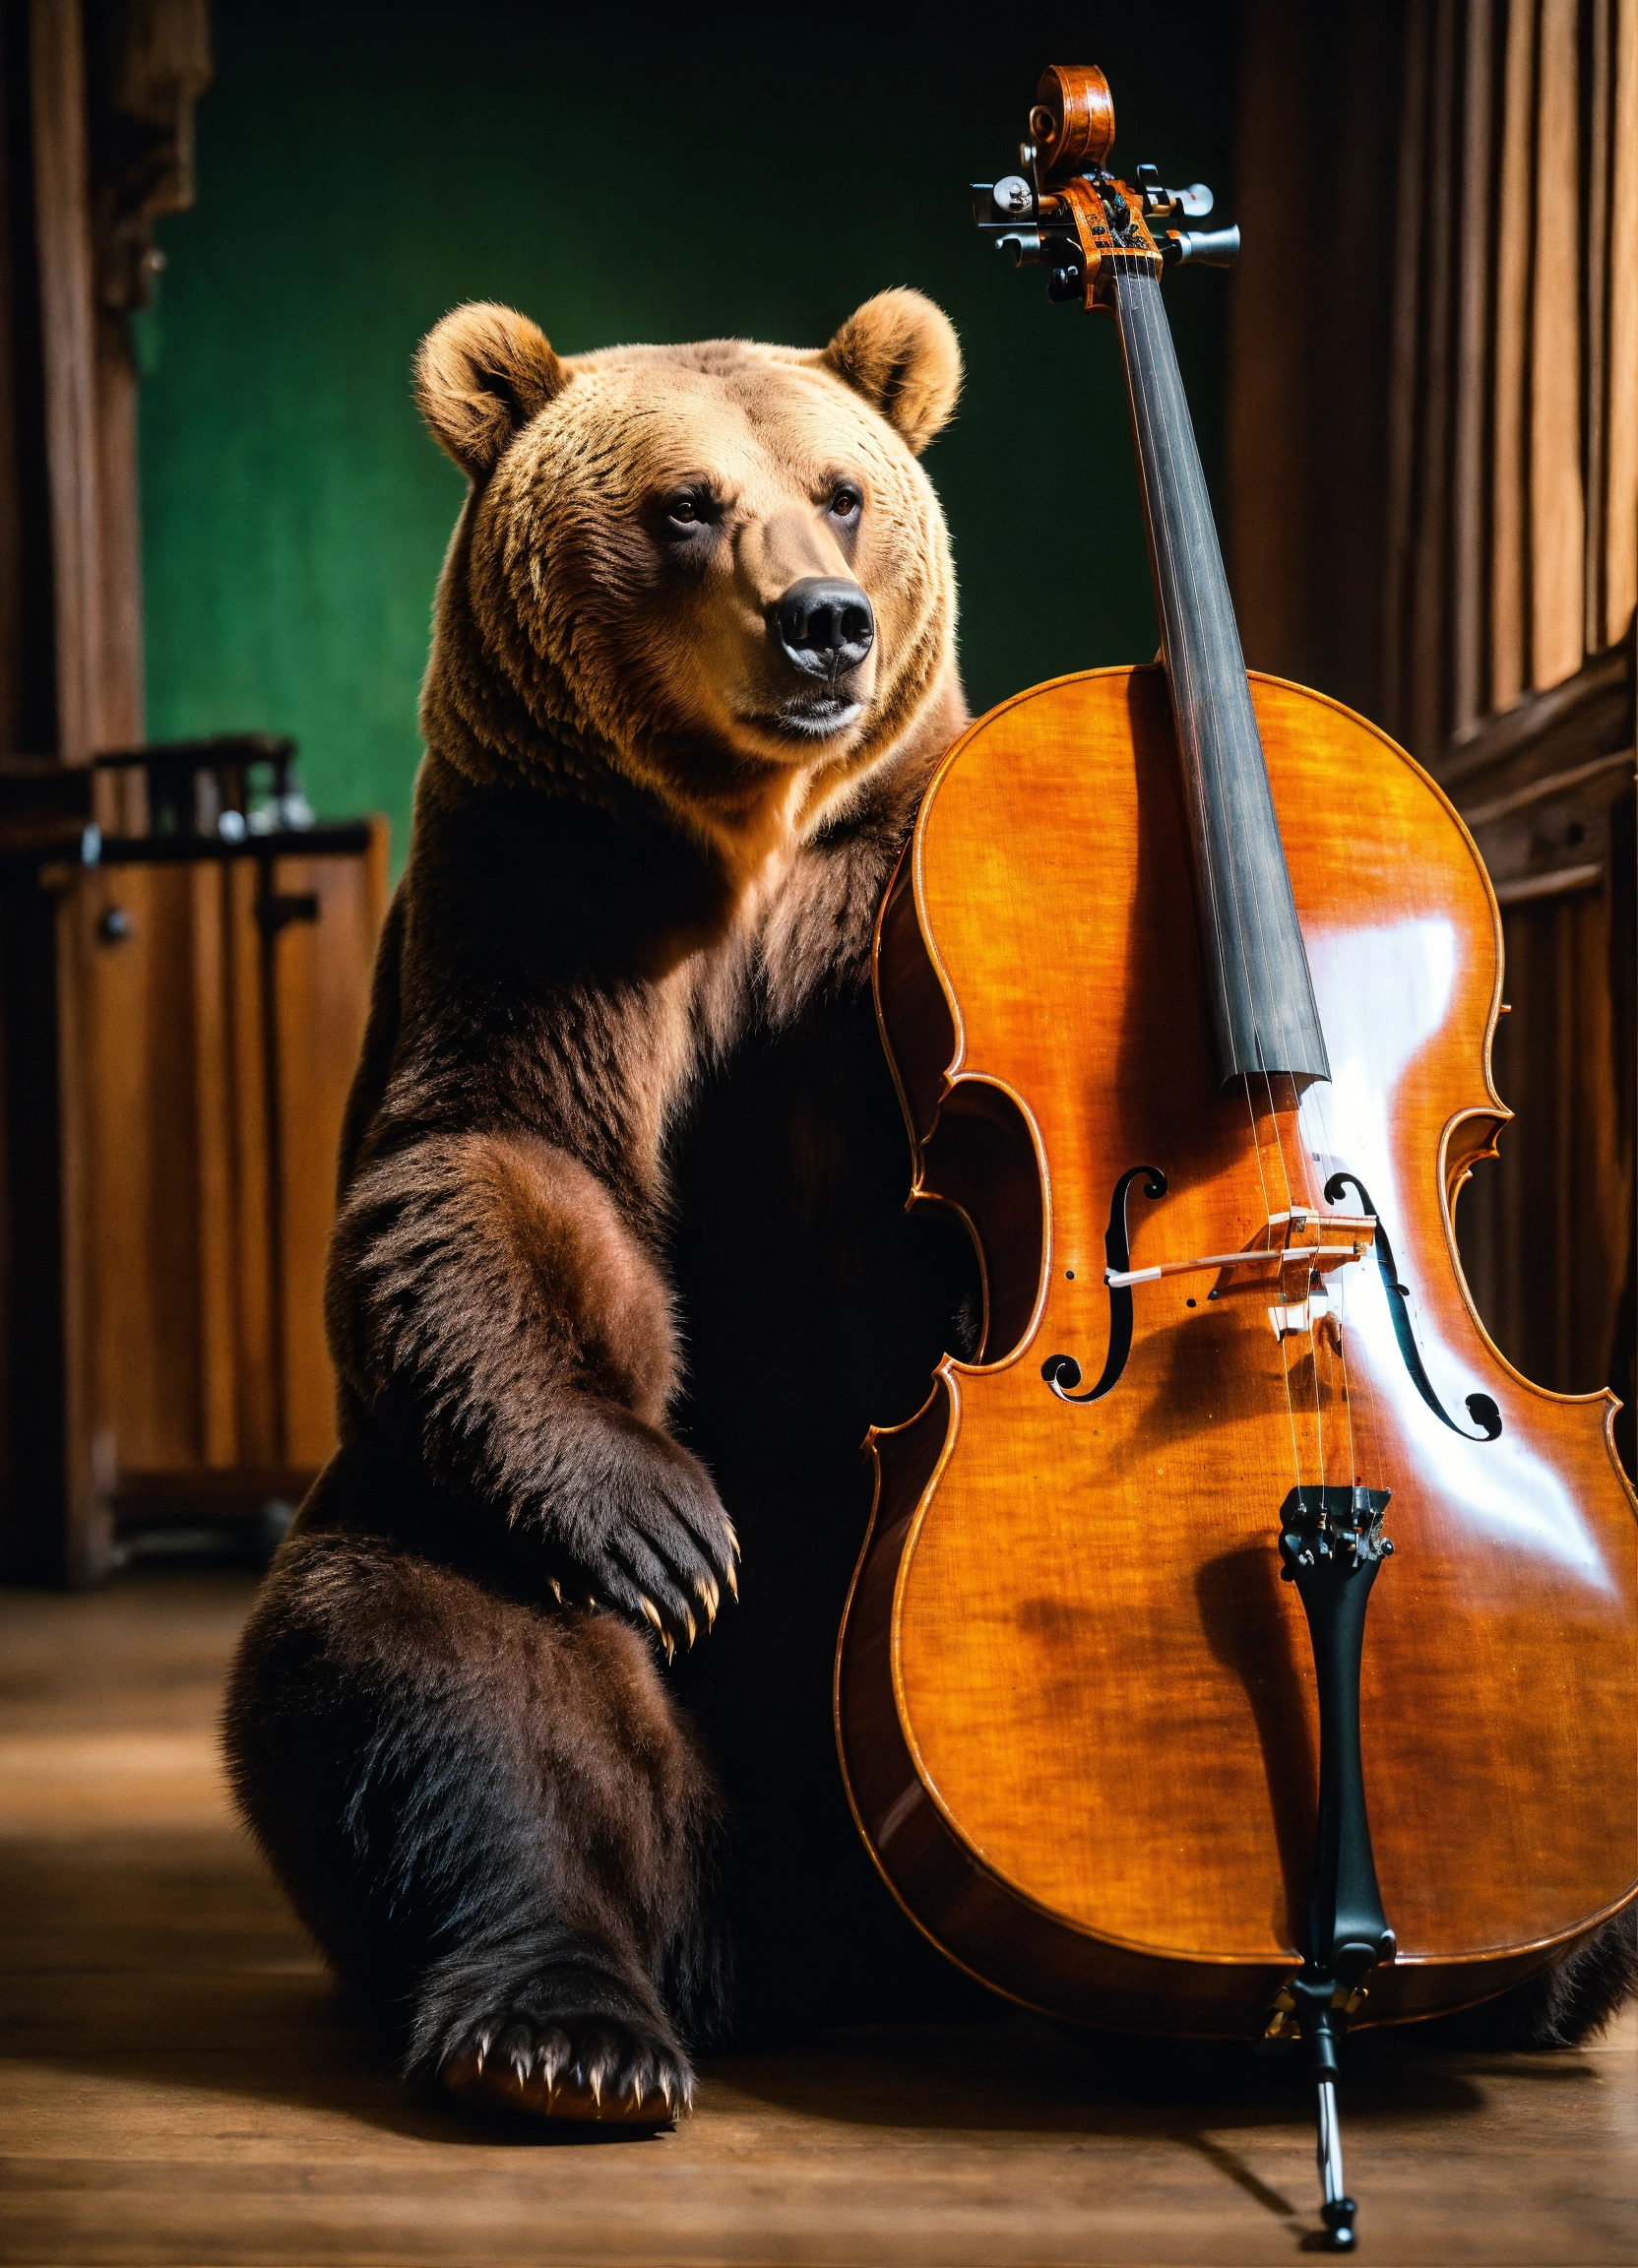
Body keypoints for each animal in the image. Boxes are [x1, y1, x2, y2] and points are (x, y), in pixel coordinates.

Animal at [223, 288, 990, 2126]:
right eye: (687, 505)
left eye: (842, 489)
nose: (824, 626)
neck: (741, 837)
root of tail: (824, 1946)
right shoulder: (538, 896)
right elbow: (502, 1172)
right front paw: (661, 1526)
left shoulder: (862, 921)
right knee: (426, 1657)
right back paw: (560, 2031)